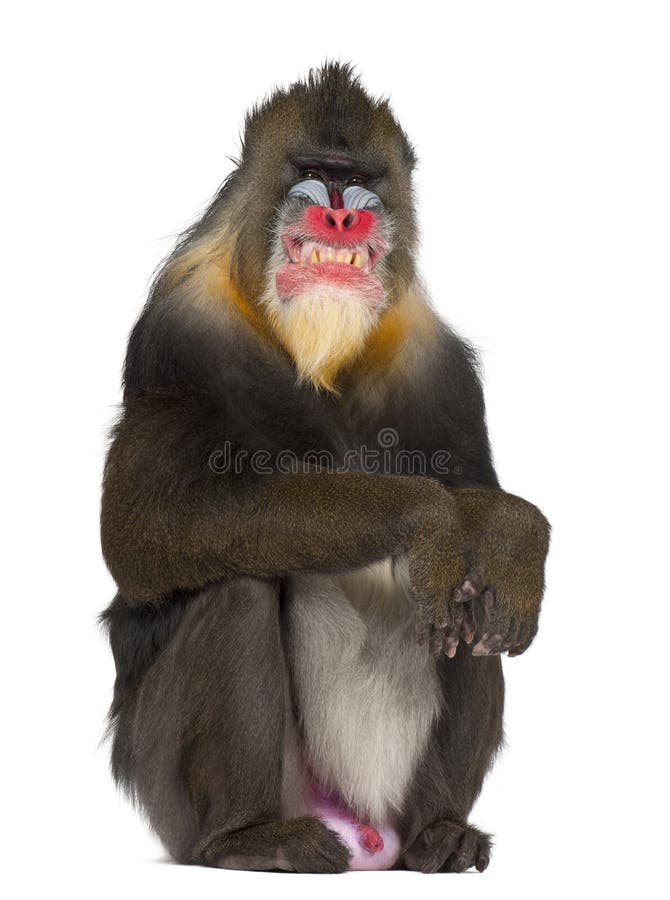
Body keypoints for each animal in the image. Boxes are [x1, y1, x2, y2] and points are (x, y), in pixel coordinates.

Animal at [100, 63, 550, 874]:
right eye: (313, 174)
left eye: (360, 181)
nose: (343, 220)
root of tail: (366, 830)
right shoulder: (178, 334)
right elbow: (144, 530)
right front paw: (429, 519)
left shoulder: (435, 360)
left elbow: (481, 506)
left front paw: (510, 529)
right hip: (181, 801)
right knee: (236, 589)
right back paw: (248, 839)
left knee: (477, 604)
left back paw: (443, 834)